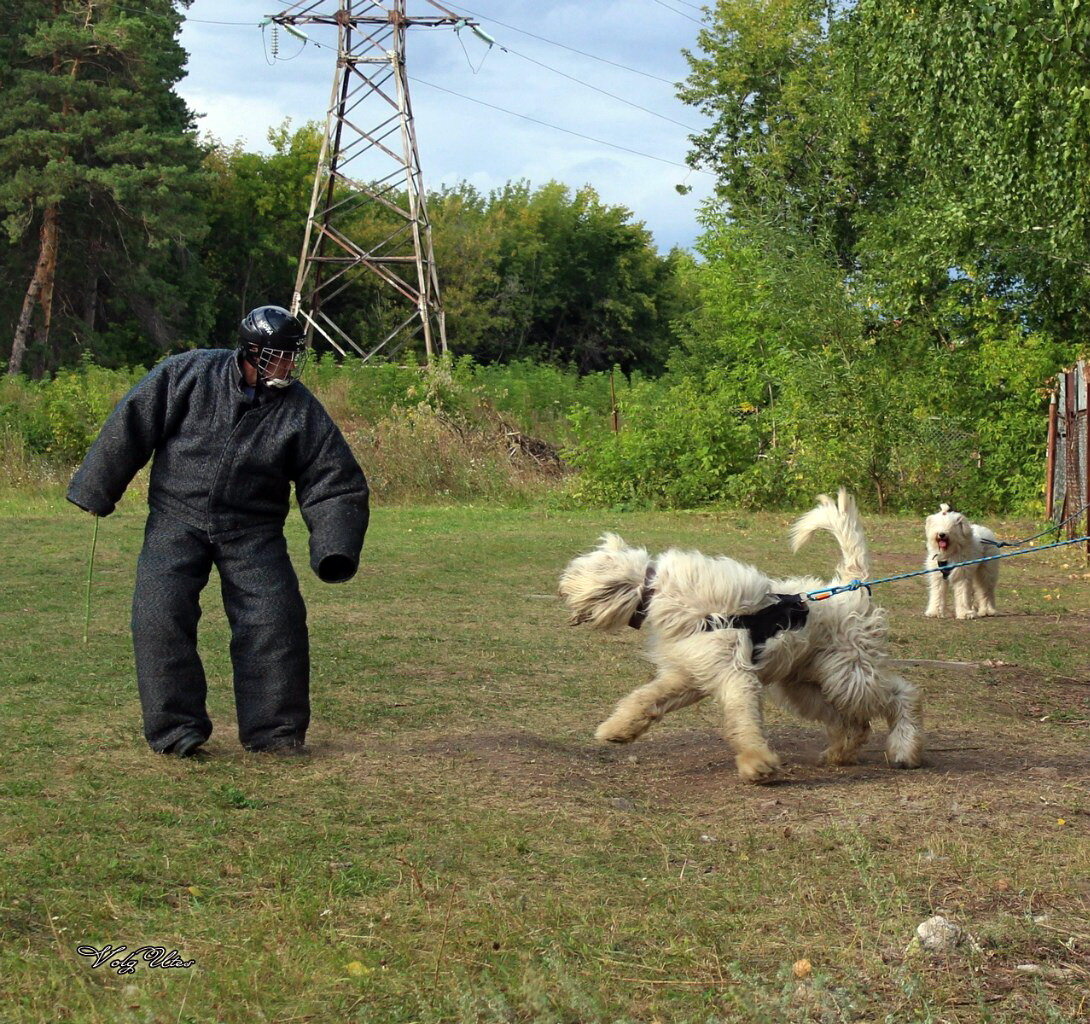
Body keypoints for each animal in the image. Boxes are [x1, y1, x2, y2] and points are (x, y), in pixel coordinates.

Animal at [558, 492, 924, 780]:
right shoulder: (689, 672)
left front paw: (757, 763)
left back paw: (905, 749)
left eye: (576, 573)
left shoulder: (735, 675)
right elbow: (646, 698)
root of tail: (852, 585)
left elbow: (742, 720)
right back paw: (839, 754)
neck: (659, 590)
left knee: (901, 695)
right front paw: (617, 729)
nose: (561, 589)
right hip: (805, 686)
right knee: (855, 724)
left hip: (850, 675)